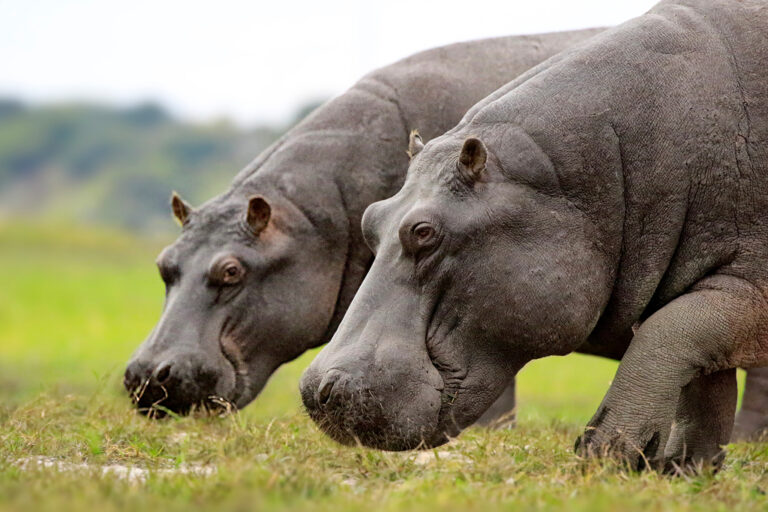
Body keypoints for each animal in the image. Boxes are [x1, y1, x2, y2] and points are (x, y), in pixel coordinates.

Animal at [301, 0, 768, 470]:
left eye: (424, 231)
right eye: (370, 219)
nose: (316, 391)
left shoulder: (751, 288)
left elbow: (668, 333)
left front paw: (604, 453)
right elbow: (704, 387)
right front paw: (681, 470)